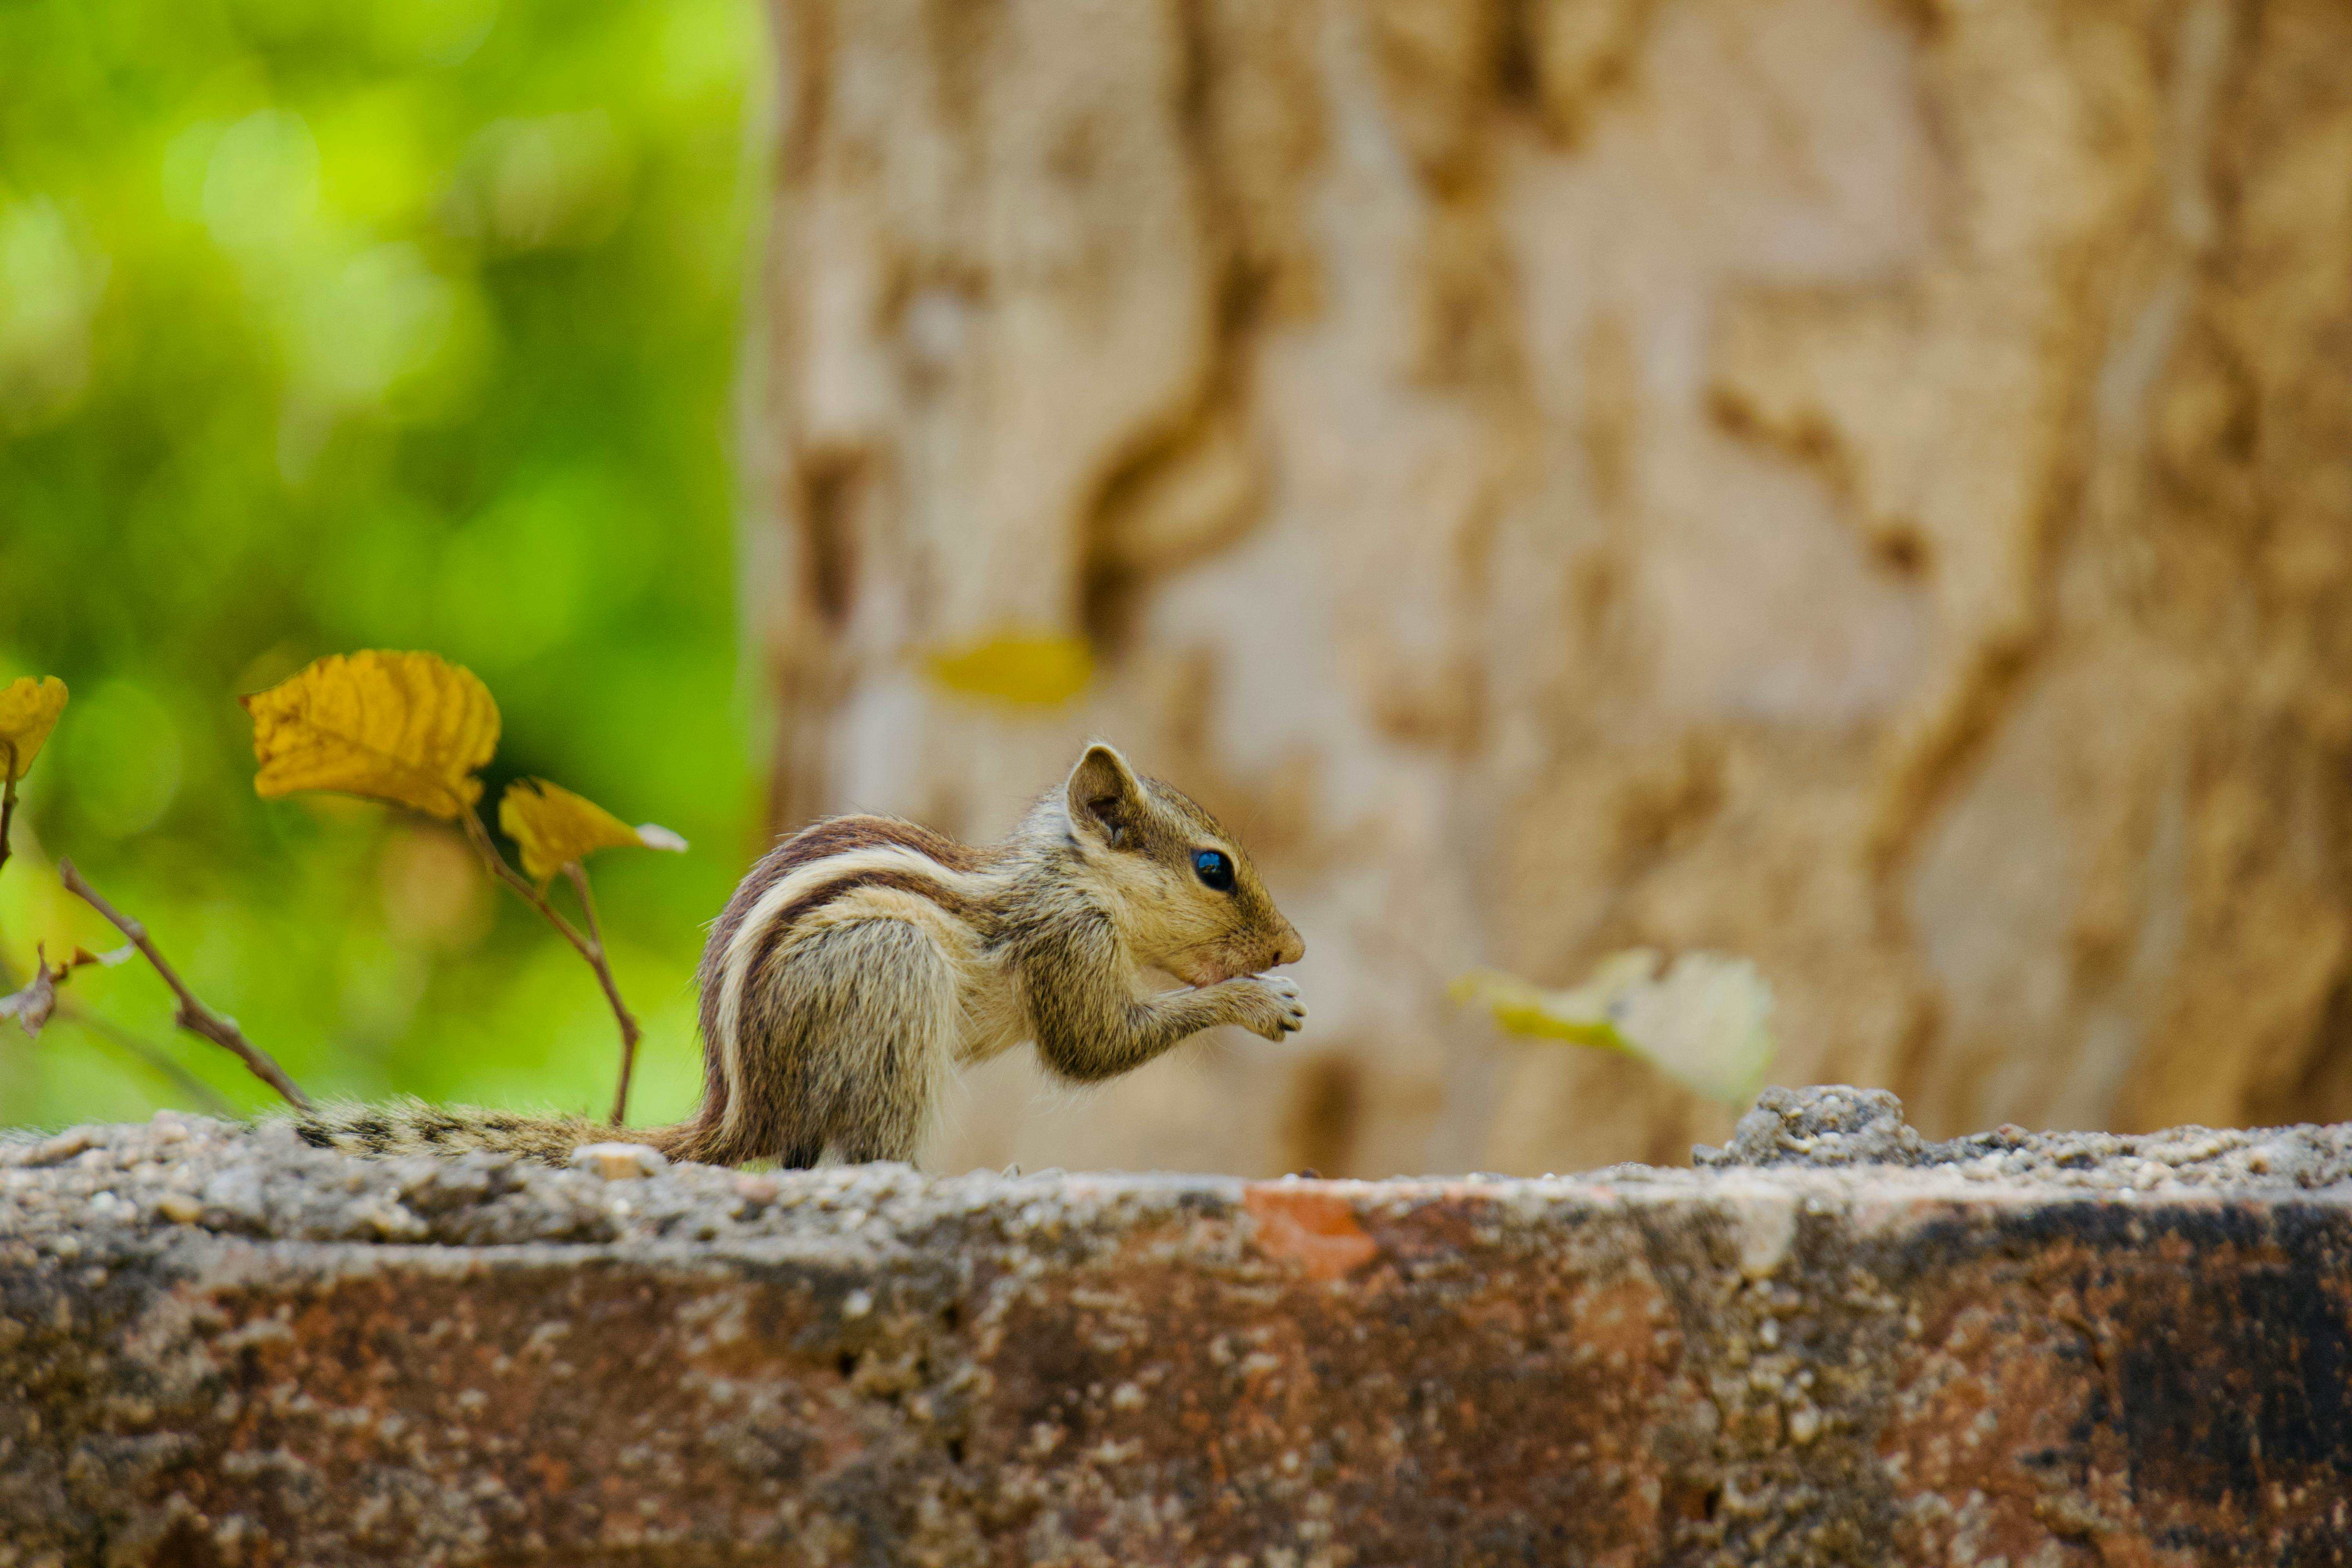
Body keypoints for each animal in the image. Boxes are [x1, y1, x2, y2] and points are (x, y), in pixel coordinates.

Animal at [294, 742, 1307, 1169]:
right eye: (1214, 868)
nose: (1293, 942)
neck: (1069, 874)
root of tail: (738, 1110)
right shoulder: (1072, 938)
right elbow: (1091, 1048)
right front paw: (1263, 1001)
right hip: (892, 975)